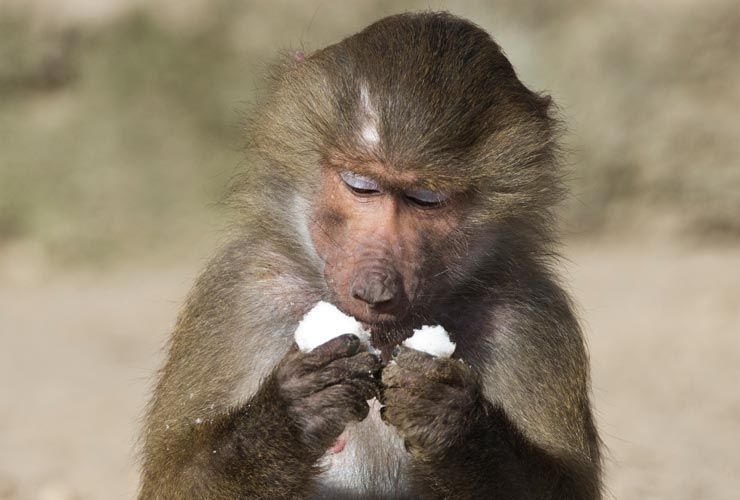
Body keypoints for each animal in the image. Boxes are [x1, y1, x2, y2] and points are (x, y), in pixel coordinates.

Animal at [138, 11, 602, 500]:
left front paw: (446, 415)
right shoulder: (242, 291)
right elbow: (176, 479)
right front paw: (300, 407)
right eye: (361, 186)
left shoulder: (528, 318)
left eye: (426, 199)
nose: (374, 290)